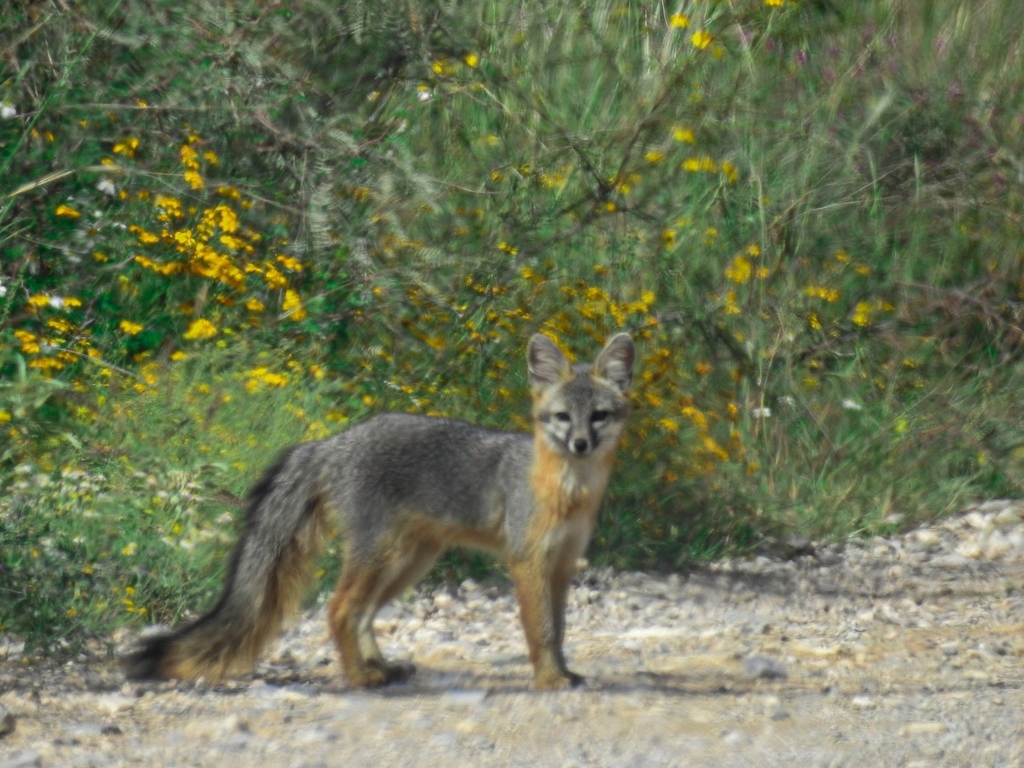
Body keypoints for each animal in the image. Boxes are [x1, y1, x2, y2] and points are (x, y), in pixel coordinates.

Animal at [124, 332, 635, 690]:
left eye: (600, 416)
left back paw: (379, 667)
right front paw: (548, 680)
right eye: (563, 418)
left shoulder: (563, 563)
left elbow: (560, 628)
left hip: (409, 562)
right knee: (339, 609)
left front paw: (564, 673)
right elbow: (541, 629)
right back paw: (360, 677)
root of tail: (334, 441)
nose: (581, 443)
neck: (567, 492)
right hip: (383, 555)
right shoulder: (527, 560)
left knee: (361, 614)